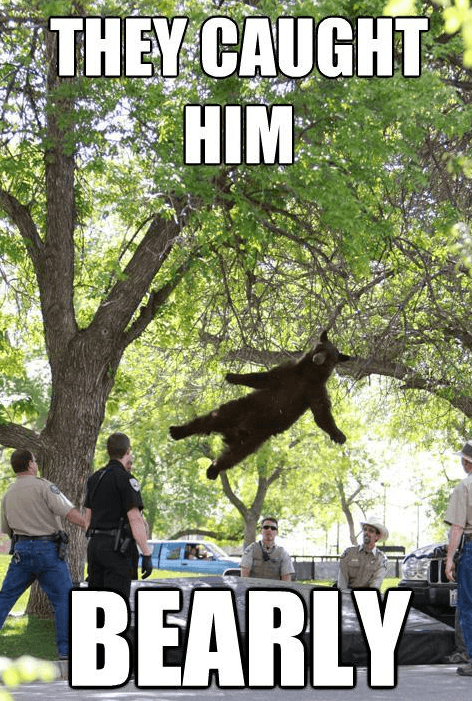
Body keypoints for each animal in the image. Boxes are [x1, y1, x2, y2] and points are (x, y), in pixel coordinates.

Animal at [169, 330, 353, 480]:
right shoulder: (289, 372)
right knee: (207, 420)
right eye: (320, 348)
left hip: (254, 440)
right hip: (238, 409)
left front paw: (338, 435)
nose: (318, 358)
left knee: (232, 457)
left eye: (330, 356)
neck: (309, 375)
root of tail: (232, 432)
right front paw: (232, 376)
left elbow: (322, 414)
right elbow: (263, 378)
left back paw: (213, 470)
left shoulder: (315, 391)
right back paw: (178, 431)